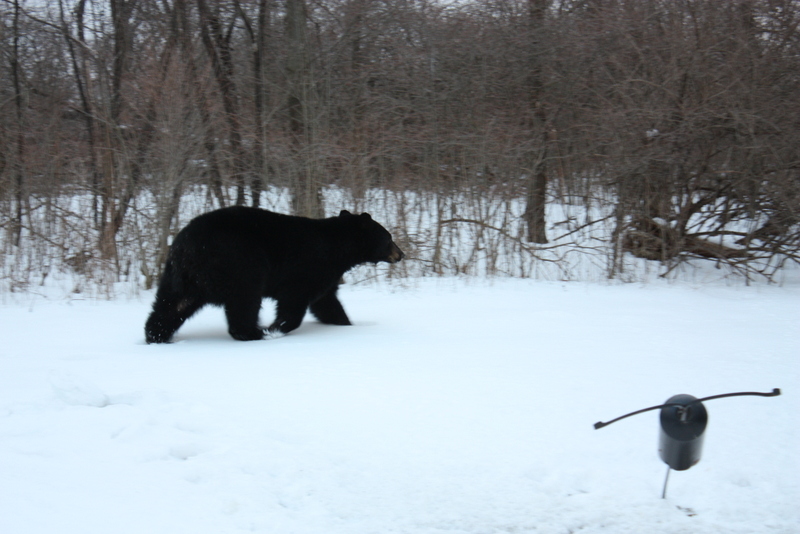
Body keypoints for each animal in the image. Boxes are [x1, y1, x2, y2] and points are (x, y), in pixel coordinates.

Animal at [144, 206, 404, 343]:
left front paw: (346, 324)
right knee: (245, 299)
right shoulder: (309, 268)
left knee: (172, 303)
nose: (401, 254)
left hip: (181, 276)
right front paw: (276, 327)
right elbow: (294, 301)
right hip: (240, 261)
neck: (338, 249)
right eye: (388, 238)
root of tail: (185, 246)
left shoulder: (326, 276)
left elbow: (328, 302)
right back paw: (253, 332)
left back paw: (156, 335)